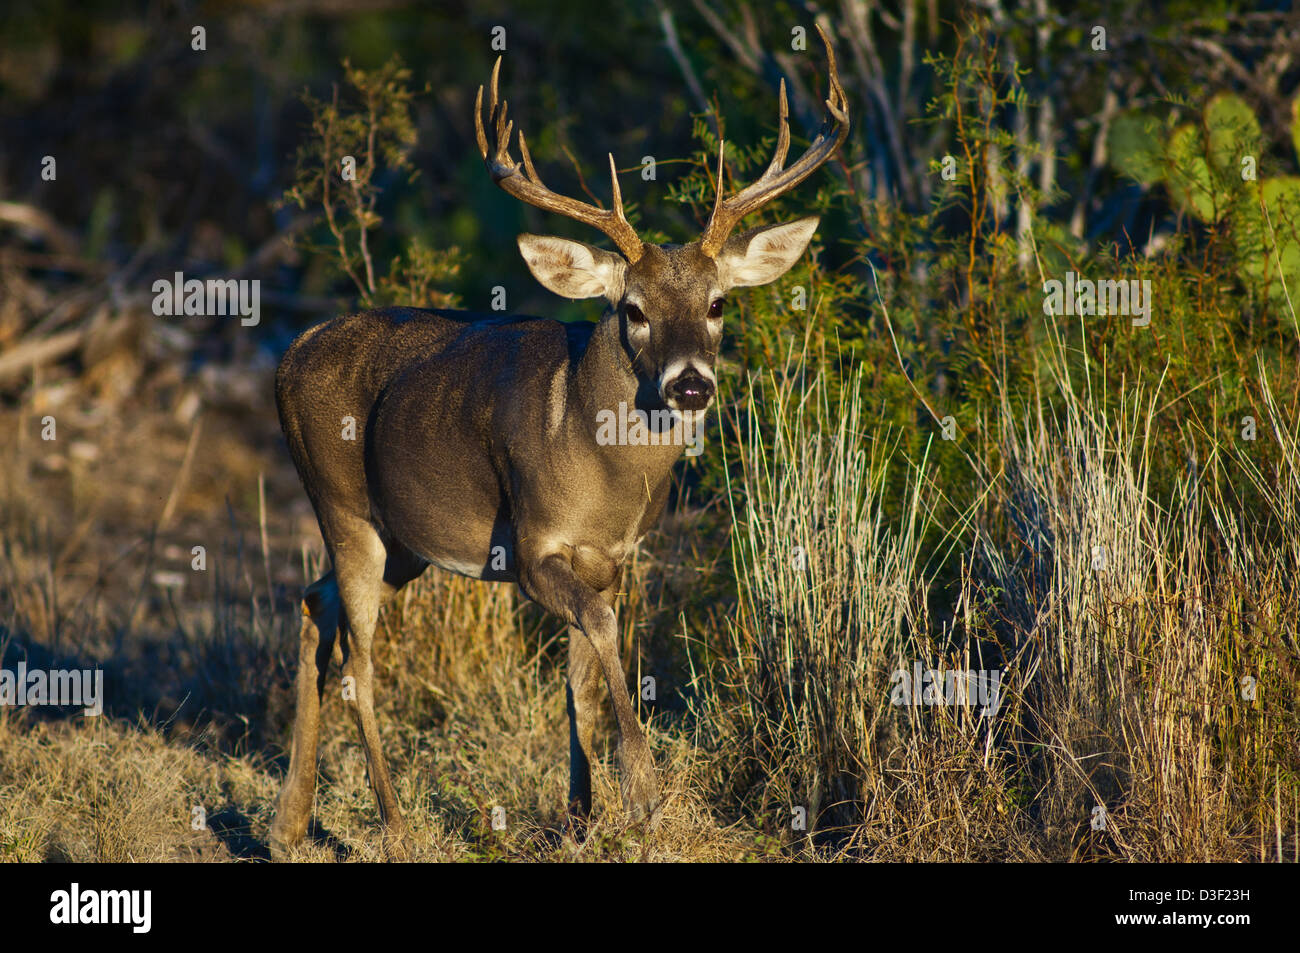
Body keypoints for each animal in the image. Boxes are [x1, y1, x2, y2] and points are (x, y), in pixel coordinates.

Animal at [268, 25, 848, 859]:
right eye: (633, 308)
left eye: (717, 303)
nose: (690, 385)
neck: (603, 468)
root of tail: (285, 358)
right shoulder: (534, 542)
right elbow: (600, 635)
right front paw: (641, 794)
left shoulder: (612, 558)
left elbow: (582, 670)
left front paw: (580, 814)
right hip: (341, 505)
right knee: (360, 661)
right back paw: (396, 825)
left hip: (402, 540)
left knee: (314, 605)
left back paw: (288, 823)